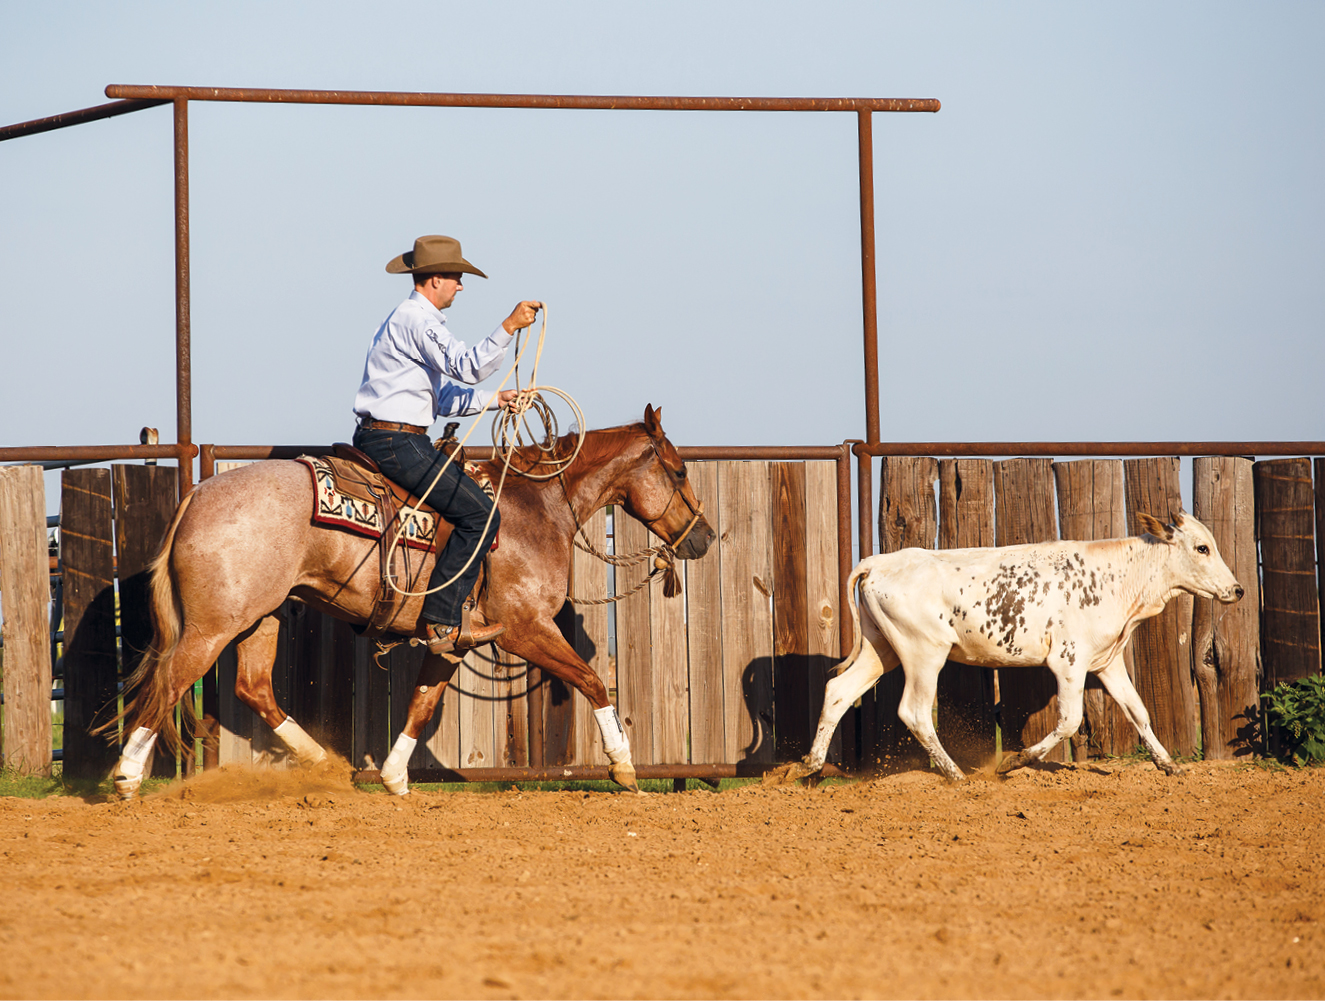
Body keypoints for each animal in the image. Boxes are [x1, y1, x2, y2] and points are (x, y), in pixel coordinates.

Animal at [781, 510, 1243, 784]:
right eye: (1202, 547)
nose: (1237, 590)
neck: (1115, 576)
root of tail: (878, 562)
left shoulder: (1106, 662)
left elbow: (1139, 713)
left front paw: (1168, 765)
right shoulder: (1068, 663)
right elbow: (1069, 721)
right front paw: (1014, 761)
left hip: (883, 649)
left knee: (839, 692)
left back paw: (809, 767)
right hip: (923, 653)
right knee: (914, 712)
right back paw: (956, 775)